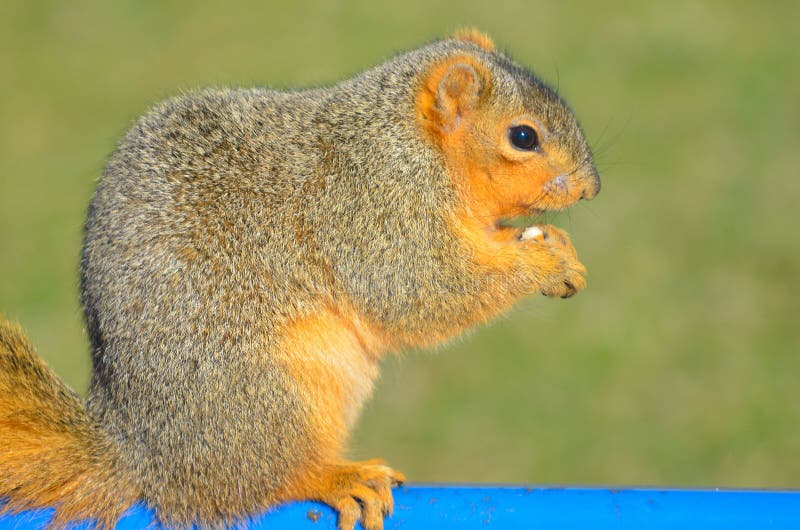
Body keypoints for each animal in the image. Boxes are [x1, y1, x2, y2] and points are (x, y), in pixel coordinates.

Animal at [0, 29, 599, 530]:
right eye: (522, 136)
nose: (591, 189)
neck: (408, 142)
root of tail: (140, 453)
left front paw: (558, 248)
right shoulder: (374, 212)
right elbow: (422, 291)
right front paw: (541, 265)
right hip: (266, 396)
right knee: (261, 482)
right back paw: (334, 477)